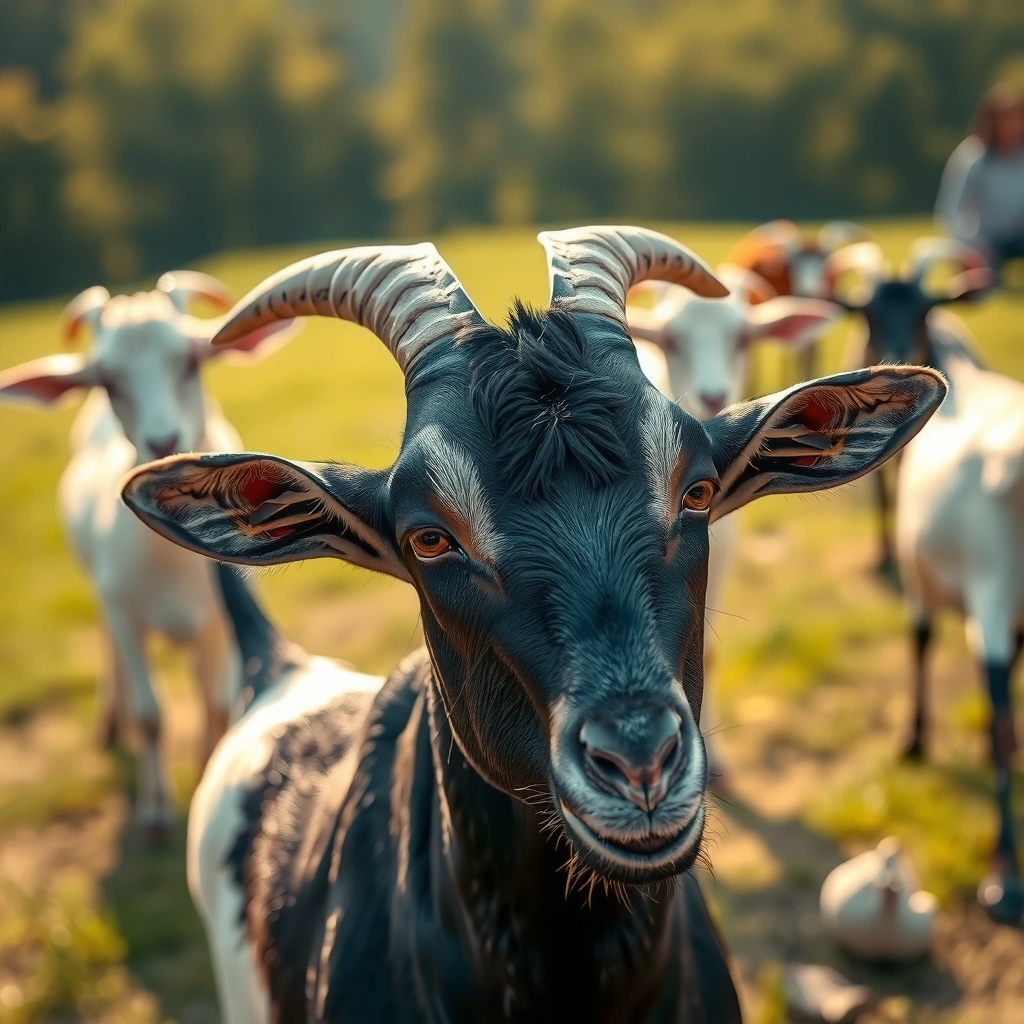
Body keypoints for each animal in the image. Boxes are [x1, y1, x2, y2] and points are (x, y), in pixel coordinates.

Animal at [0, 273, 297, 840]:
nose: (164, 442)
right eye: (108, 382)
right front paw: (156, 815)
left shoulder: (222, 620)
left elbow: (217, 702)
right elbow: (150, 715)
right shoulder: (123, 609)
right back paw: (107, 721)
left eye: (190, 361)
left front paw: (207, 766)